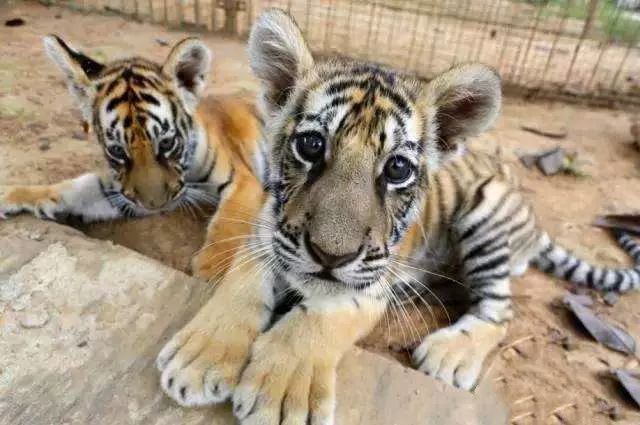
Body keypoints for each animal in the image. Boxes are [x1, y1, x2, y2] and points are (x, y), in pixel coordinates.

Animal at [0, 35, 266, 281]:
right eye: (118, 150)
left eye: (167, 143)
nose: (154, 205)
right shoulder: (118, 189)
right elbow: (71, 189)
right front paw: (10, 195)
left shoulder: (242, 181)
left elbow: (227, 227)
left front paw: (207, 274)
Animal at [154, 8, 640, 424]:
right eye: (310, 145)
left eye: (397, 169)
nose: (330, 256)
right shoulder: (265, 234)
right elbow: (240, 284)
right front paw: (201, 357)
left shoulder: (370, 281)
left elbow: (317, 319)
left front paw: (281, 394)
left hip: (486, 211)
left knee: (501, 310)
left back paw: (449, 354)